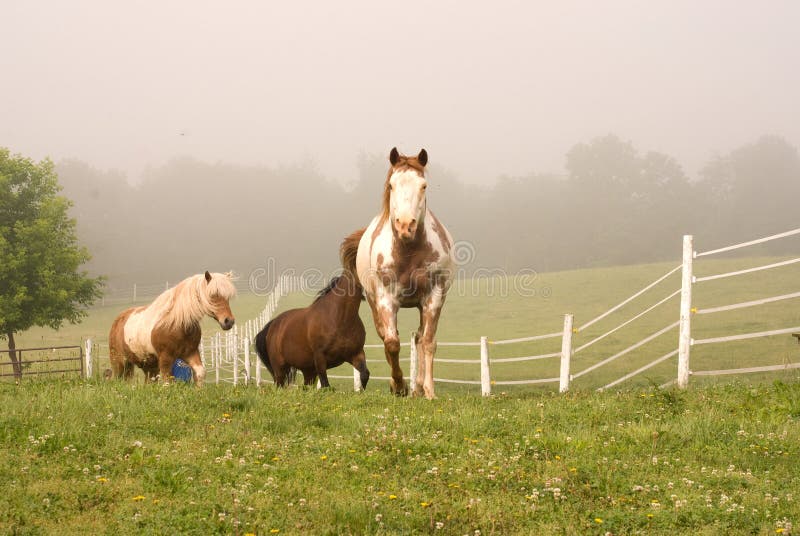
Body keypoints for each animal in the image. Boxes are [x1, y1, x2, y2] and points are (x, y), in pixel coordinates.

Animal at [254, 230, 369, 389]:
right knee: (279, 385)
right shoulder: (320, 359)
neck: (340, 317)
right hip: (280, 369)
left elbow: (364, 375)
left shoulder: (356, 354)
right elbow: (326, 385)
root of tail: (272, 325)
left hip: (308, 371)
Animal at [356, 147, 455, 399]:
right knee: (387, 337)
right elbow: (392, 343)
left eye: (423, 186)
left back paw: (418, 387)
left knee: (419, 338)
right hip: (374, 302)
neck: (408, 251)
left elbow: (428, 342)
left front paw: (429, 390)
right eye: (392, 185)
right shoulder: (386, 299)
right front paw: (398, 385)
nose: (405, 226)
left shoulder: (433, 297)